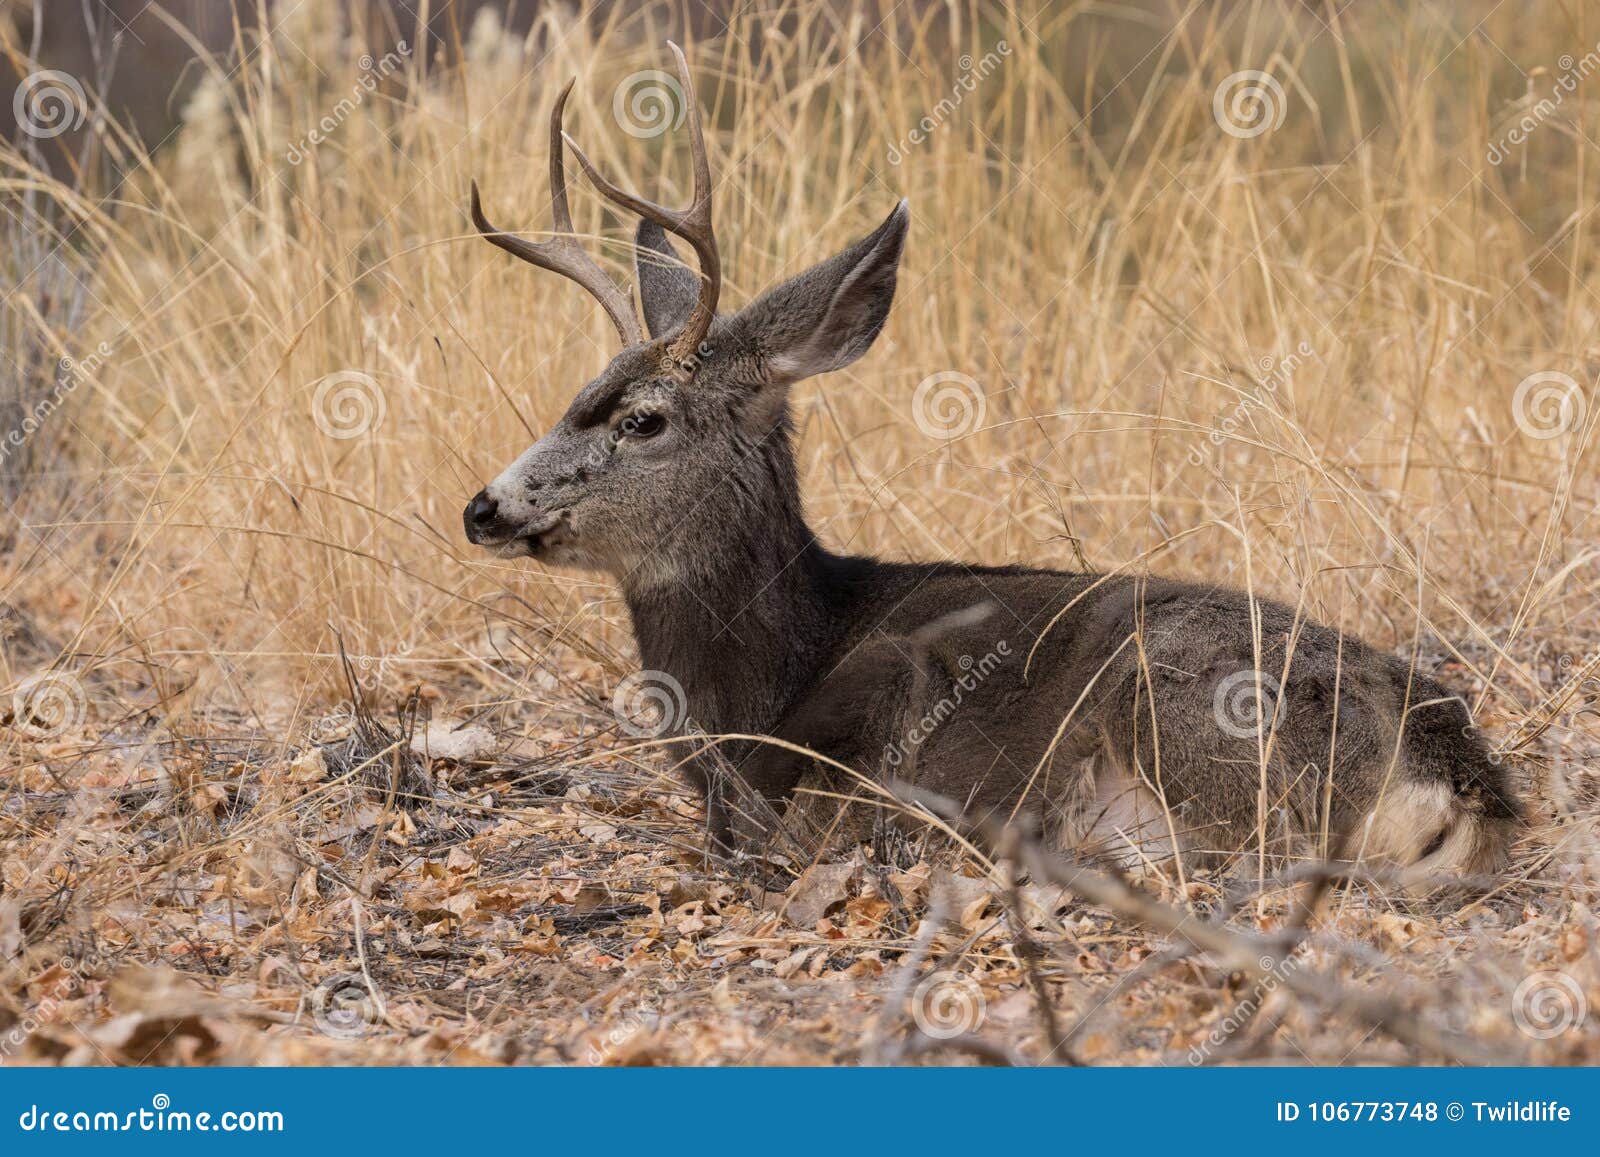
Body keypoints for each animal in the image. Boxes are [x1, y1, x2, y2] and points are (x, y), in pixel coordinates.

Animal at [461, 44, 1519, 882]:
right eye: (577, 393)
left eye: (643, 419)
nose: (484, 506)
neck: (770, 673)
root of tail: (1460, 774)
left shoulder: (880, 698)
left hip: (1185, 702)